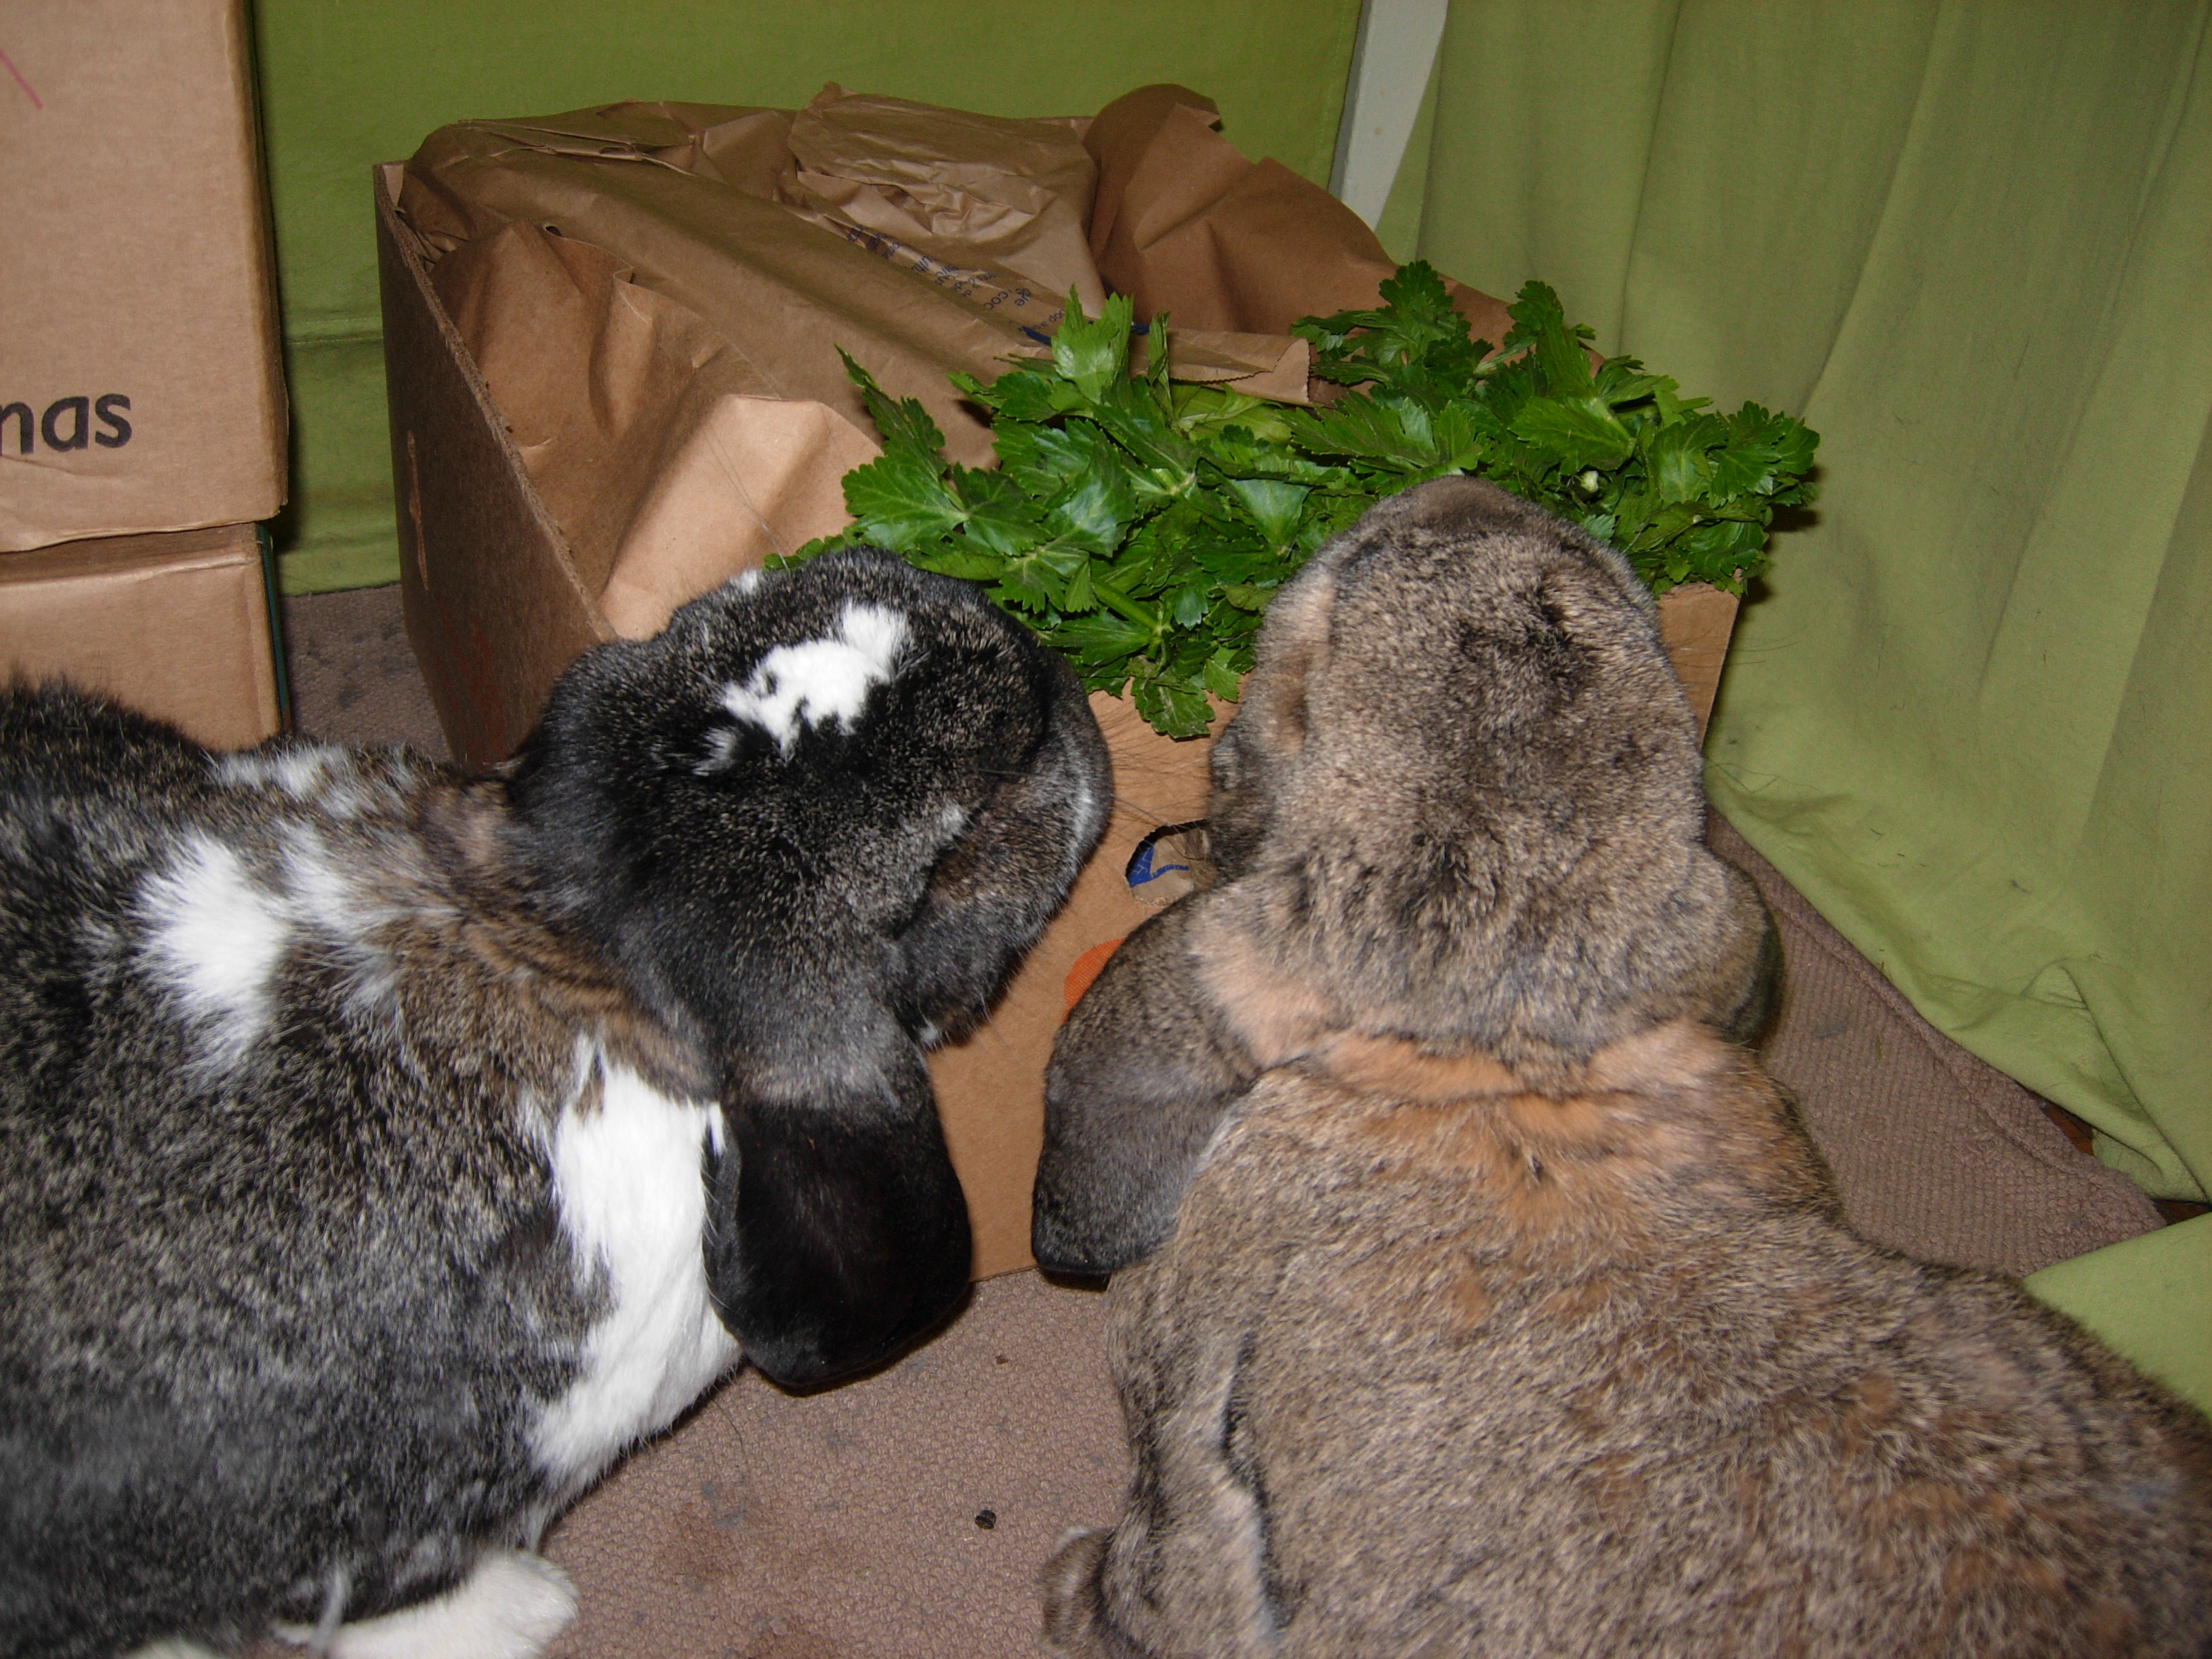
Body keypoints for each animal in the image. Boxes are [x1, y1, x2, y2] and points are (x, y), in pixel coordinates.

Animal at [1032, 477, 2212, 1658]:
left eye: (1343, 587)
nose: (1462, 489)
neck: (1501, 1058)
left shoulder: (1188, 1476)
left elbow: (1147, 1578)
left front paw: (1063, 1584)